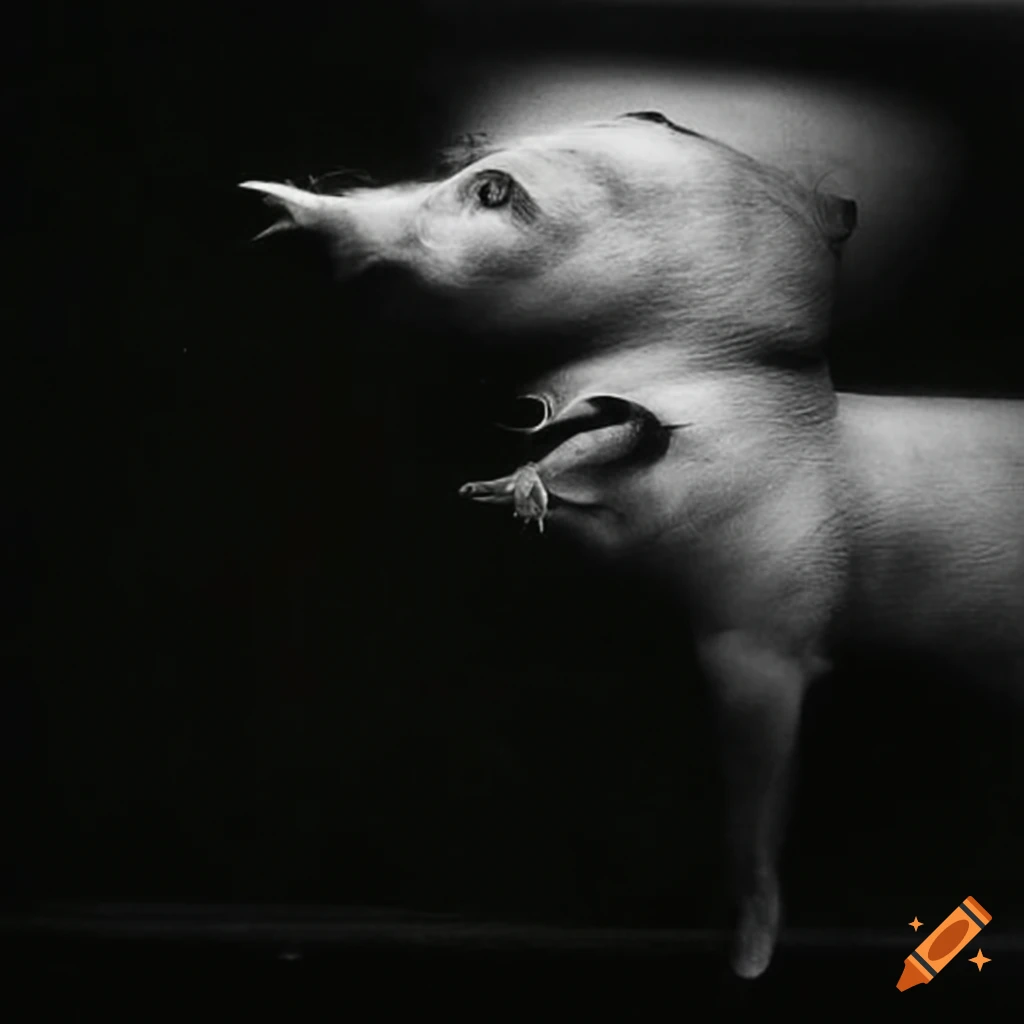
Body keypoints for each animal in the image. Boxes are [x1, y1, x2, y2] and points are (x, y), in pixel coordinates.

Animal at [239, 111, 1024, 981]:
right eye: (649, 115)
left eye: (494, 192)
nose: (288, 211)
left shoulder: (759, 647)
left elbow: (755, 816)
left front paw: (752, 944)